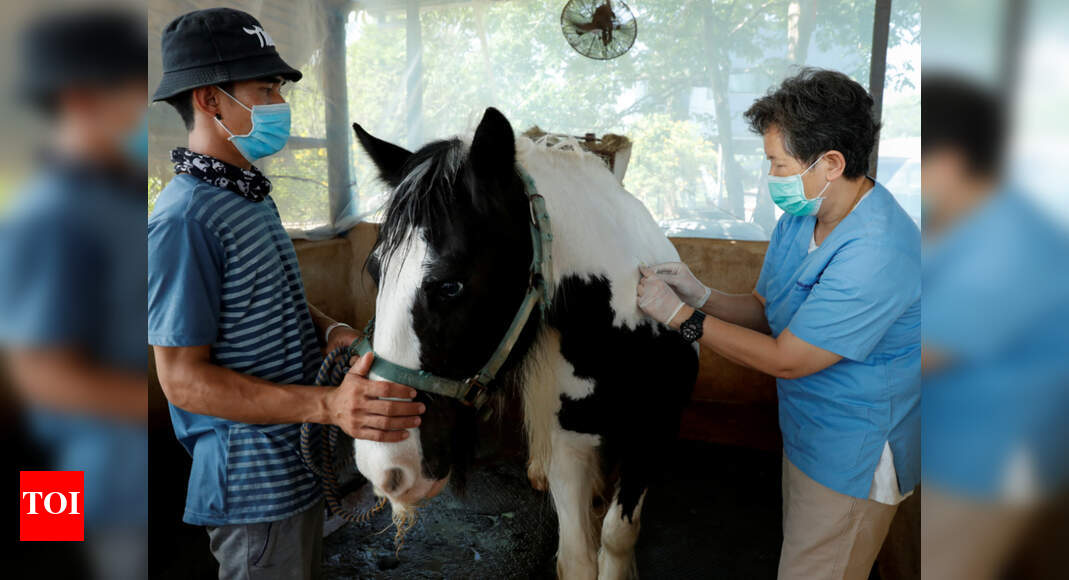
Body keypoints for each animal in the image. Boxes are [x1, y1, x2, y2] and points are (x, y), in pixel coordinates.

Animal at [351, 107, 698, 579]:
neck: (621, 338)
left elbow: (617, 536)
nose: (385, 469)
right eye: (375, 271)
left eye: (451, 286)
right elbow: (577, 556)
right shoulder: (570, 444)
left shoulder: (653, 434)